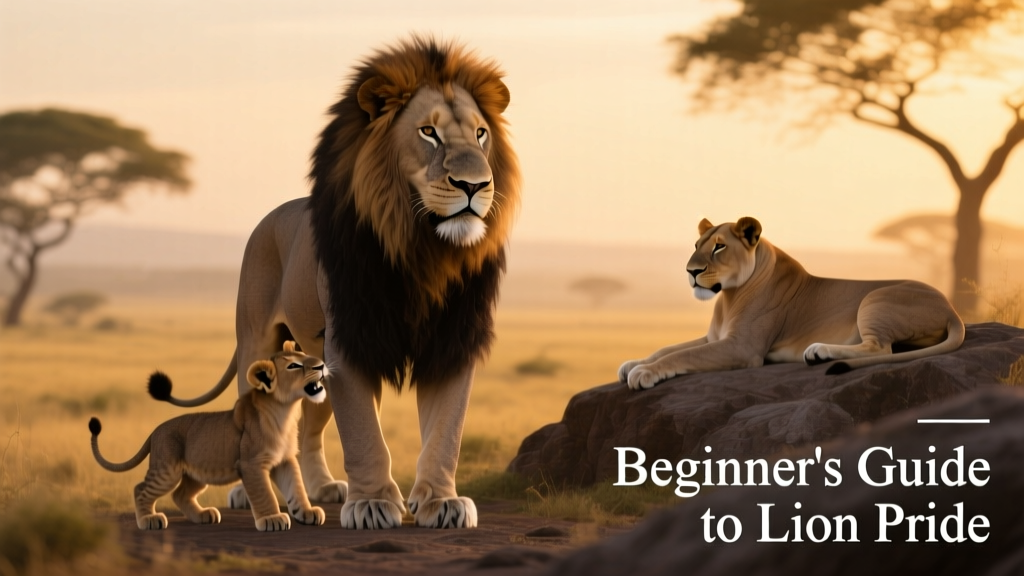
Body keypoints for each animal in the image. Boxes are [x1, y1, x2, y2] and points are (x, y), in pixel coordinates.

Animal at [89, 341, 328, 531]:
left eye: (304, 354)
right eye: (293, 366)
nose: (321, 365)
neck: (285, 411)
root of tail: (155, 431)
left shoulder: (285, 459)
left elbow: (296, 487)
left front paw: (306, 513)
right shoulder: (251, 463)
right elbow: (264, 494)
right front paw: (272, 518)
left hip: (196, 474)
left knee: (180, 494)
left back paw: (204, 515)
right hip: (167, 470)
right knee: (140, 488)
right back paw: (149, 519)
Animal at [179, 37, 521, 529]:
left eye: (480, 134)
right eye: (428, 132)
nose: (475, 185)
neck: (423, 250)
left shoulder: (450, 340)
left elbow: (446, 430)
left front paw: (442, 501)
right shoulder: (349, 338)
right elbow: (363, 432)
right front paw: (373, 504)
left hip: (313, 370)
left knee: (306, 428)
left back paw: (320, 488)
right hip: (259, 343)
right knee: (252, 410)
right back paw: (251, 492)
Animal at [618, 217, 965, 390]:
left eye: (718, 247)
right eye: (696, 245)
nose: (691, 271)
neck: (728, 297)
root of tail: (952, 310)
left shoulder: (743, 348)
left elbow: (683, 355)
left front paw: (645, 373)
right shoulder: (714, 337)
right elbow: (668, 348)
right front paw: (632, 364)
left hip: (875, 298)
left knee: (881, 349)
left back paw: (818, 351)